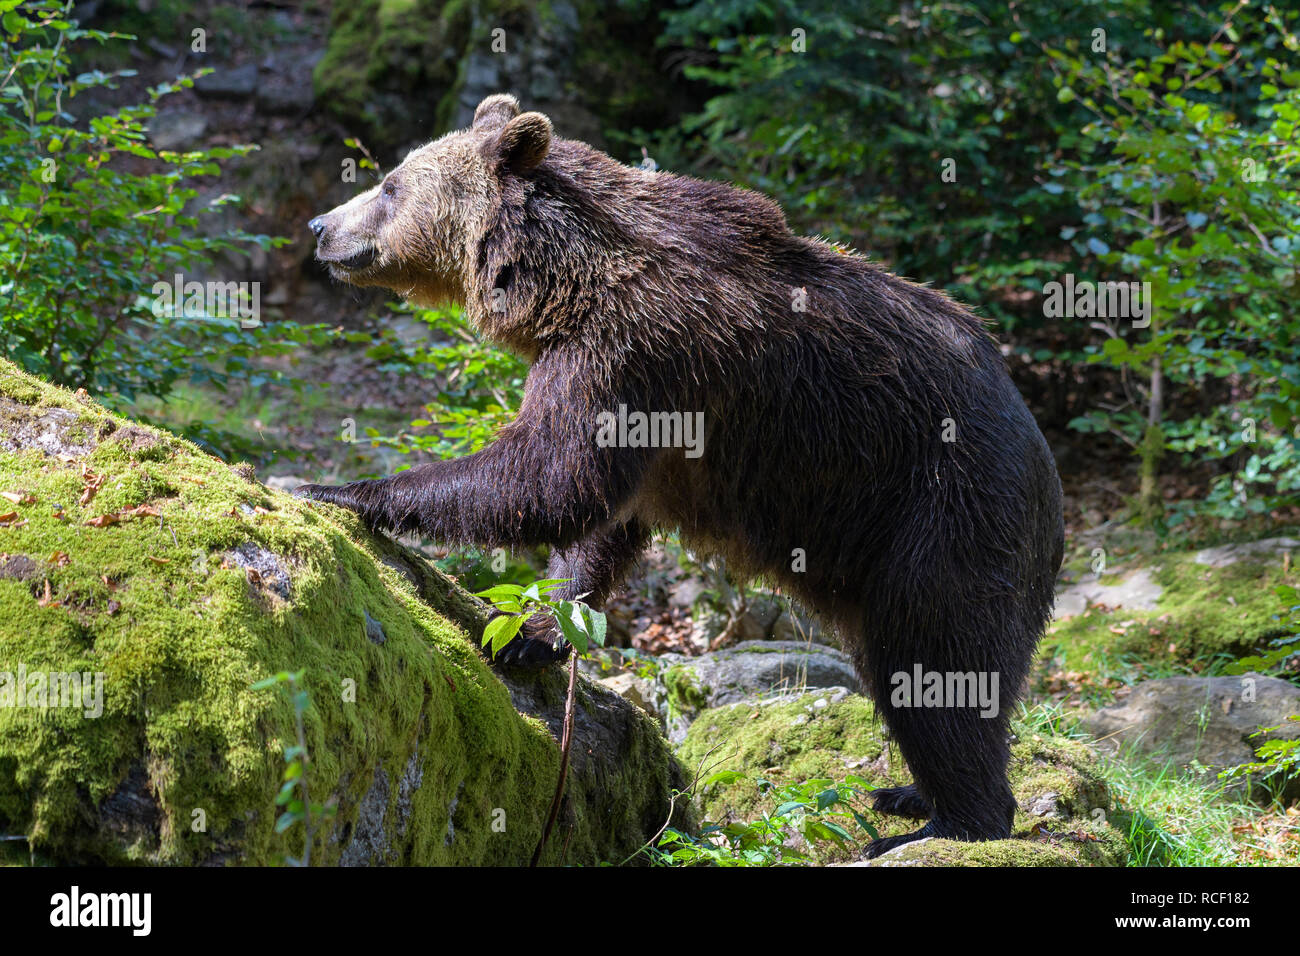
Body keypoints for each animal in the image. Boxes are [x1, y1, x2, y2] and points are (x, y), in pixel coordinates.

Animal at [298, 93, 1065, 858]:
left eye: (391, 184)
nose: (319, 226)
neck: (560, 282)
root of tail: (1042, 459)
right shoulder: (640, 407)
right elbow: (600, 515)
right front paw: (535, 631)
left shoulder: (634, 350)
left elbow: (551, 478)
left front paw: (332, 488)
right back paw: (908, 793)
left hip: (943, 511)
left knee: (935, 660)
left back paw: (948, 820)